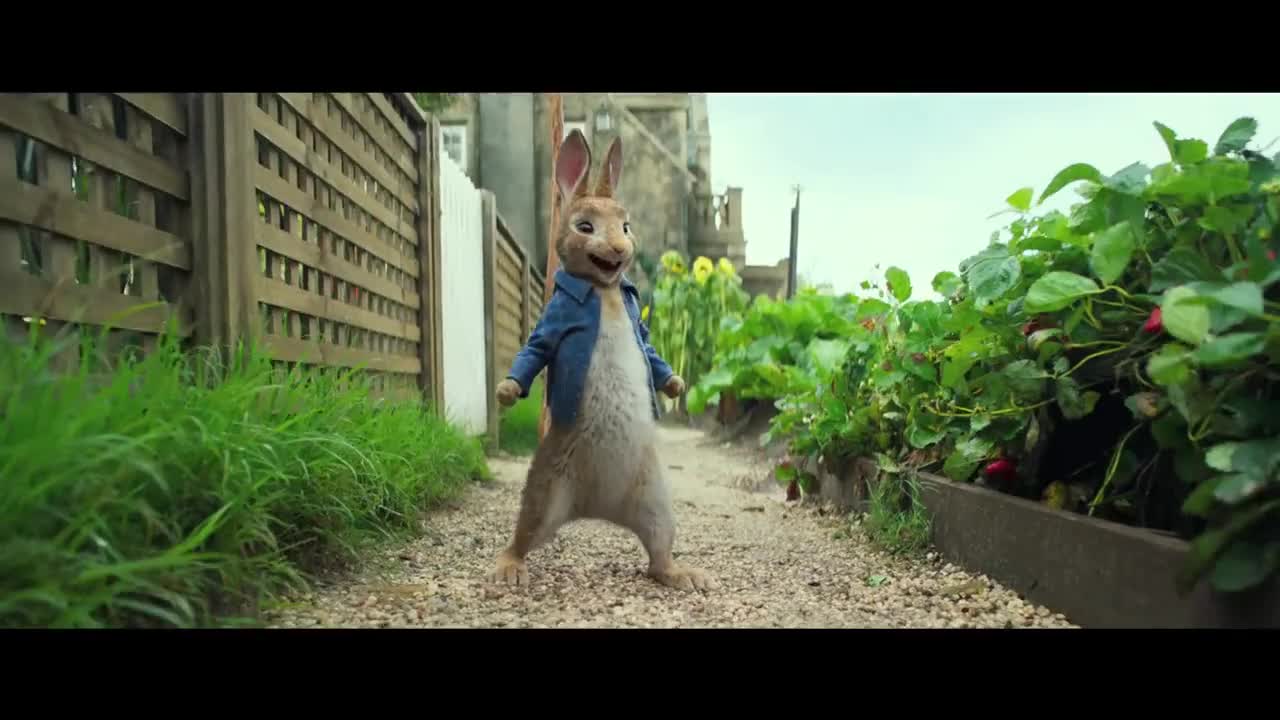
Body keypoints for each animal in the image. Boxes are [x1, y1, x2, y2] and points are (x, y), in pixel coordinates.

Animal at [490, 129, 715, 593]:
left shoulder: (639, 329)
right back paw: (509, 568)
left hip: (655, 502)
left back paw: (683, 575)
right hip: (545, 491)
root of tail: (596, 508)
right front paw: (506, 390)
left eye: (626, 226)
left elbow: (651, 351)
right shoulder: (552, 321)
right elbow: (534, 350)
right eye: (584, 226)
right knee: (523, 536)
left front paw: (676, 385)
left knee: (658, 555)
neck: (604, 289)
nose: (620, 248)